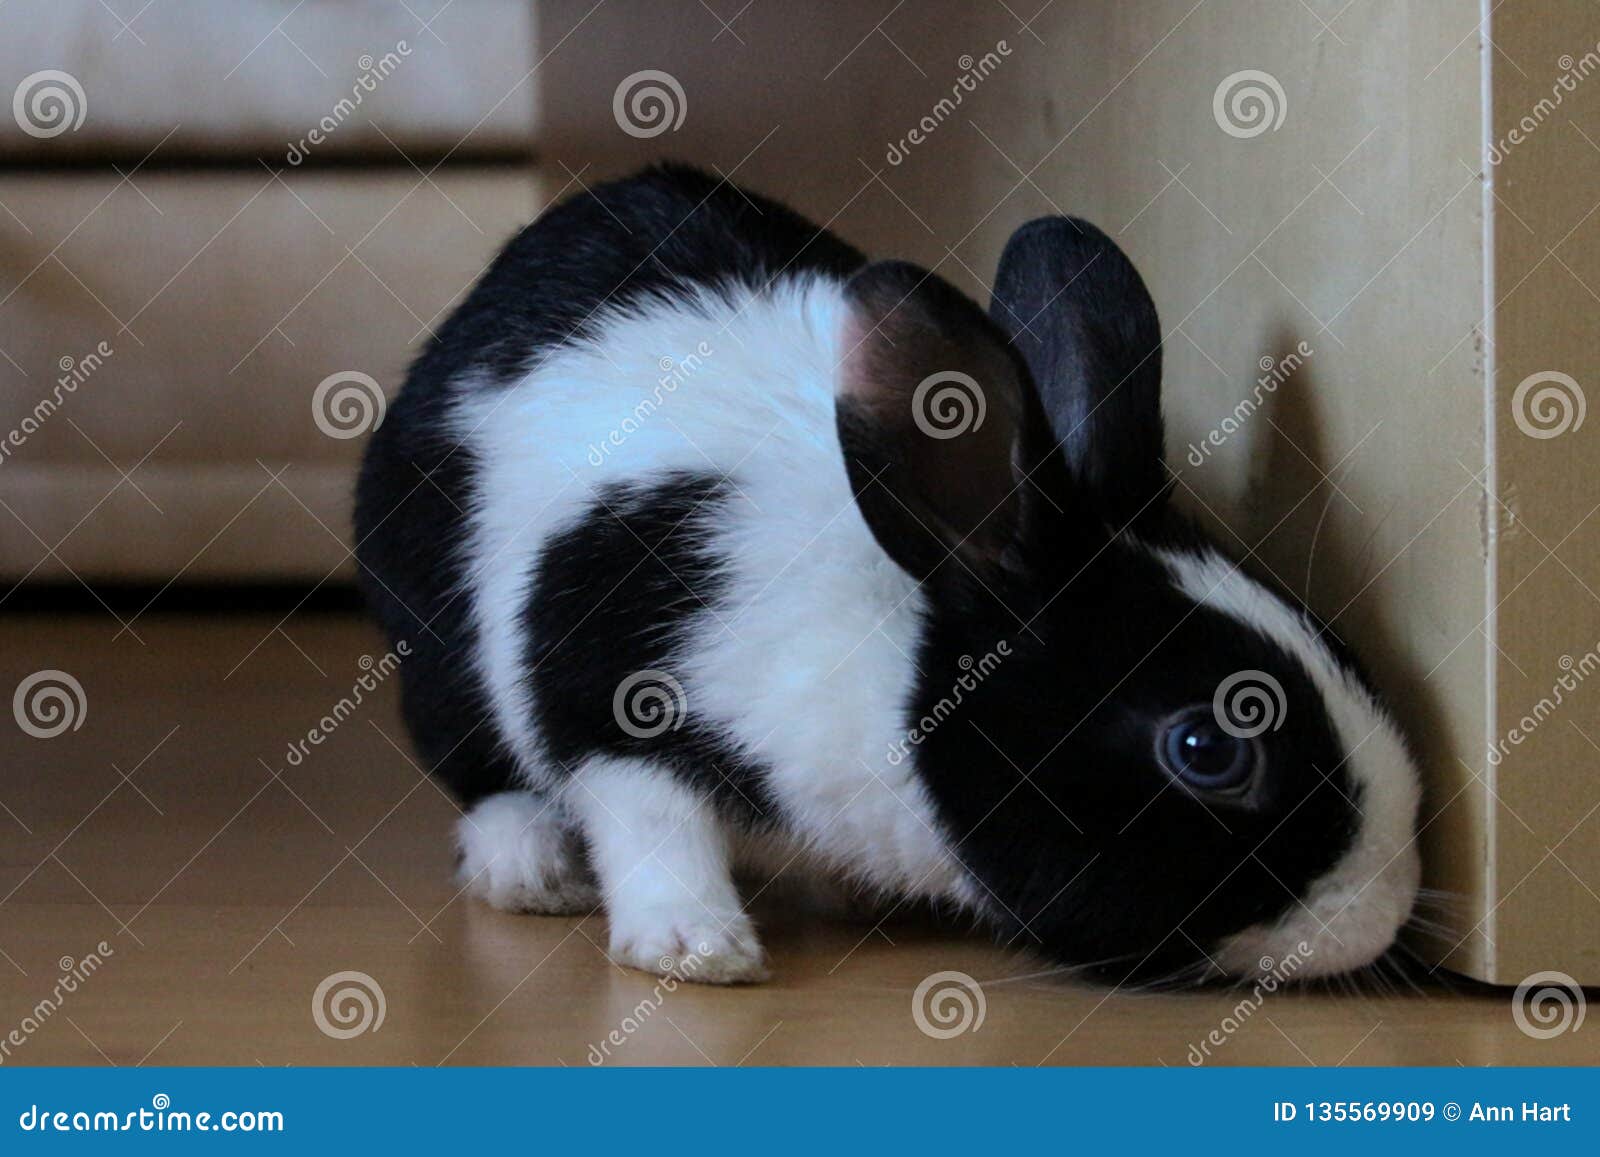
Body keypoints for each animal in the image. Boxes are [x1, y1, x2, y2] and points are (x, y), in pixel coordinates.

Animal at [354, 163, 1421, 985]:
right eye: (1207, 748)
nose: (1389, 905)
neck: (897, 641)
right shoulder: (611, 691)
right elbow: (650, 817)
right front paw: (697, 949)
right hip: (440, 651)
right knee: (482, 773)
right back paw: (531, 869)